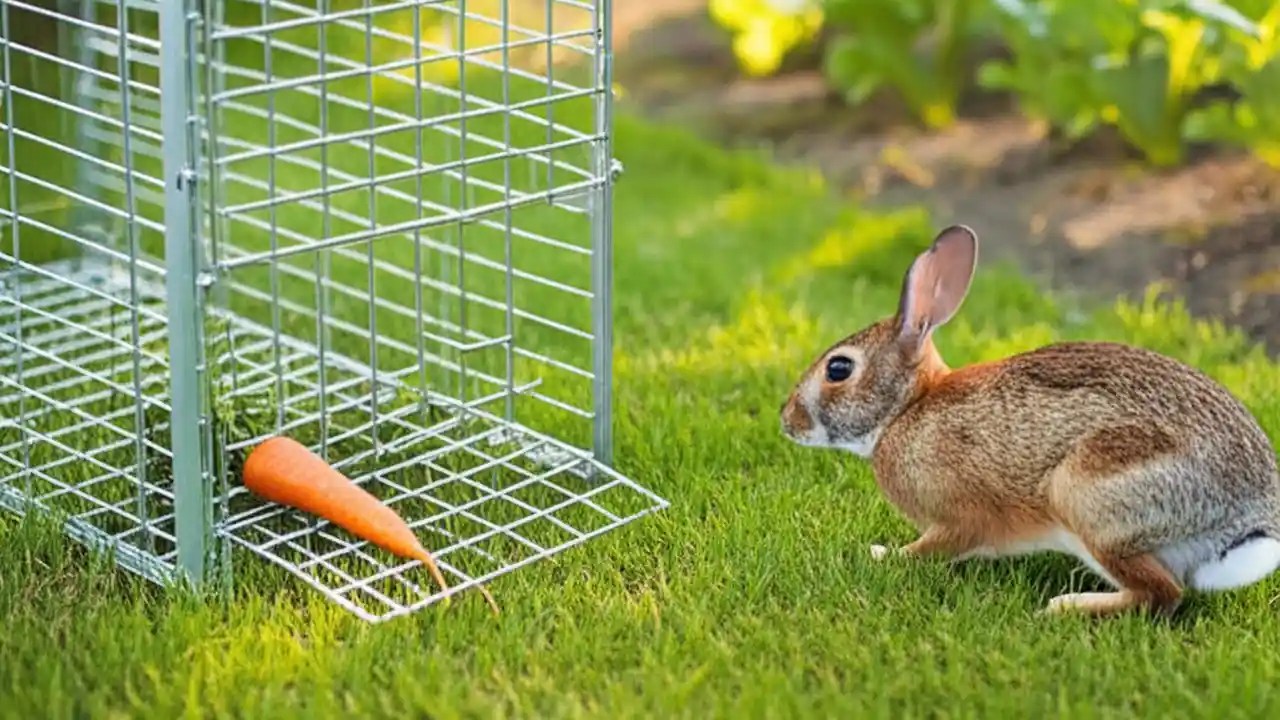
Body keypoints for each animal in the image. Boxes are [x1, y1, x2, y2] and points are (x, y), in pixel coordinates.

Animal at [780, 224, 1280, 617]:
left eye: (838, 369)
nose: (787, 420)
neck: (907, 408)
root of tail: (1248, 521)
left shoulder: (962, 514)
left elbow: (936, 546)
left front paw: (883, 555)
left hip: (1087, 497)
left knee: (1161, 594)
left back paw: (1067, 607)